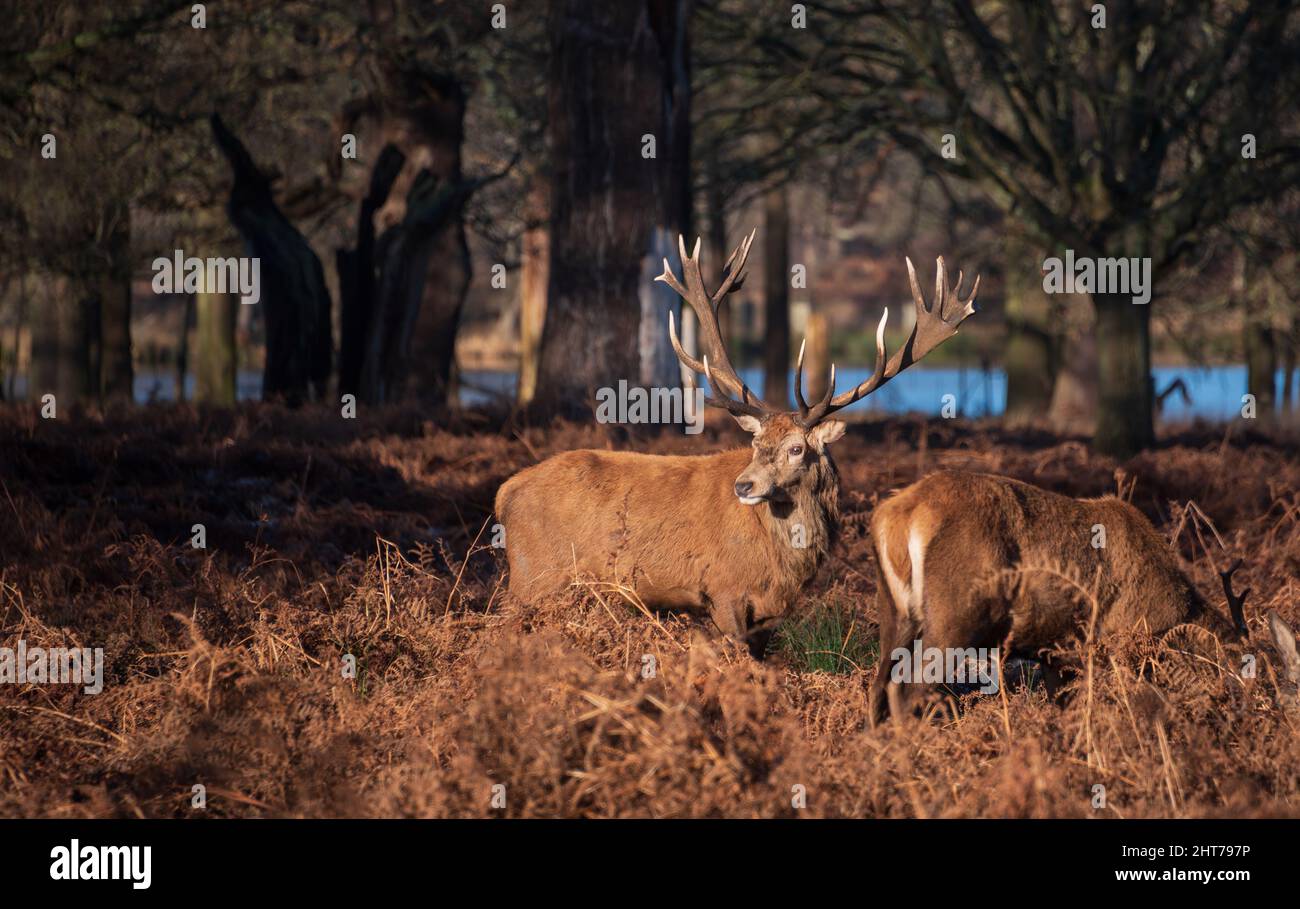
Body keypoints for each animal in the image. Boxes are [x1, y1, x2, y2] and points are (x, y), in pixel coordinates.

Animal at [495, 230, 980, 656]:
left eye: (797, 448)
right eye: (755, 442)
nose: (743, 486)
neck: (782, 565)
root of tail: (505, 492)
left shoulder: (772, 613)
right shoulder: (721, 588)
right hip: (533, 578)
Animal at [866, 469, 1299, 724]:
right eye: (1259, 680)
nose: (1263, 719)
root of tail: (897, 513)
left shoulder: (1057, 652)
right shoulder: (1113, 643)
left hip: (895, 613)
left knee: (879, 688)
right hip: (957, 615)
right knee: (905, 689)